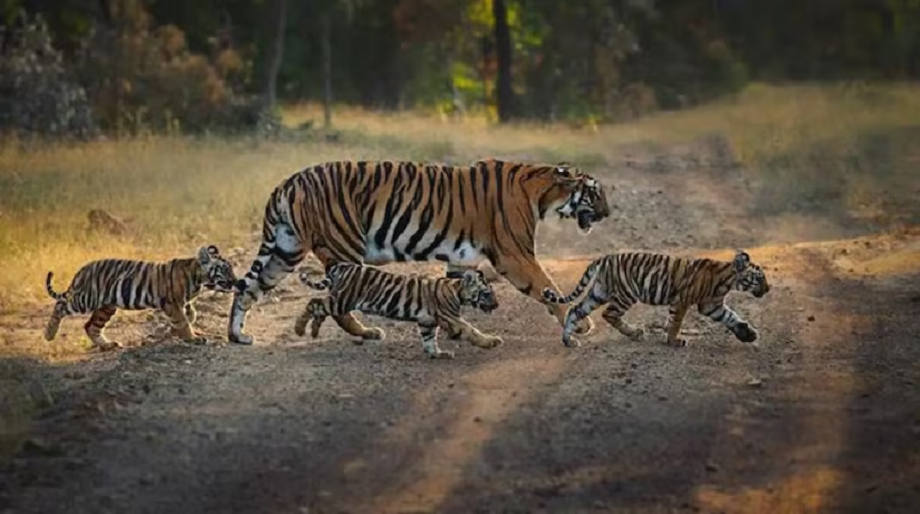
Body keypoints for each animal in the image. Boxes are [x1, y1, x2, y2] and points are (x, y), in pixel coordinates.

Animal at [44, 245, 237, 350]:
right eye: (225, 270)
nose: (237, 282)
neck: (198, 278)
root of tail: (82, 269)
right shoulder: (172, 303)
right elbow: (183, 320)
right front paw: (192, 338)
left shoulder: (183, 302)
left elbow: (191, 315)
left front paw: (175, 332)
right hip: (87, 298)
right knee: (61, 305)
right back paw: (49, 335)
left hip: (106, 306)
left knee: (91, 326)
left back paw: (107, 345)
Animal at [228, 158, 611, 345]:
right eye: (595, 193)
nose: (608, 213)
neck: (543, 193)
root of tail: (287, 182)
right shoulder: (513, 255)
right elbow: (548, 287)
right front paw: (581, 324)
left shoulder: (462, 258)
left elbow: (457, 295)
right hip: (343, 249)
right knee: (337, 304)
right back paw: (367, 334)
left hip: (285, 250)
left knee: (246, 291)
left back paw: (238, 336)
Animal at [293, 263, 501, 359]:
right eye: (486, 293)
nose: (497, 305)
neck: (457, 290)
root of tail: (342, 265)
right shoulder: (451, 319)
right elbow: (472, 331)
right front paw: (492, 341)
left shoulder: (427, 322)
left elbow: (429, 340)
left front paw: (437, 354)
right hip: (343, 301)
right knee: (313, 304)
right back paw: (299, 329)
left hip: (339, 300)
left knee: (319, 308)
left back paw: (313, 331)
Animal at [542, 249, 770, 348]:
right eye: (759, 278)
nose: (768, 289)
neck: (728, 280)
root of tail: (603, 258)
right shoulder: (682, 300)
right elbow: (676, 322)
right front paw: (674, 341)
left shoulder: (711, 305)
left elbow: (731, 318)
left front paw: (748, 335)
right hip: (626, 294)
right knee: (609, 314)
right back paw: (635, 333)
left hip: (598, 293)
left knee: (575, 310)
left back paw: (568, 341)